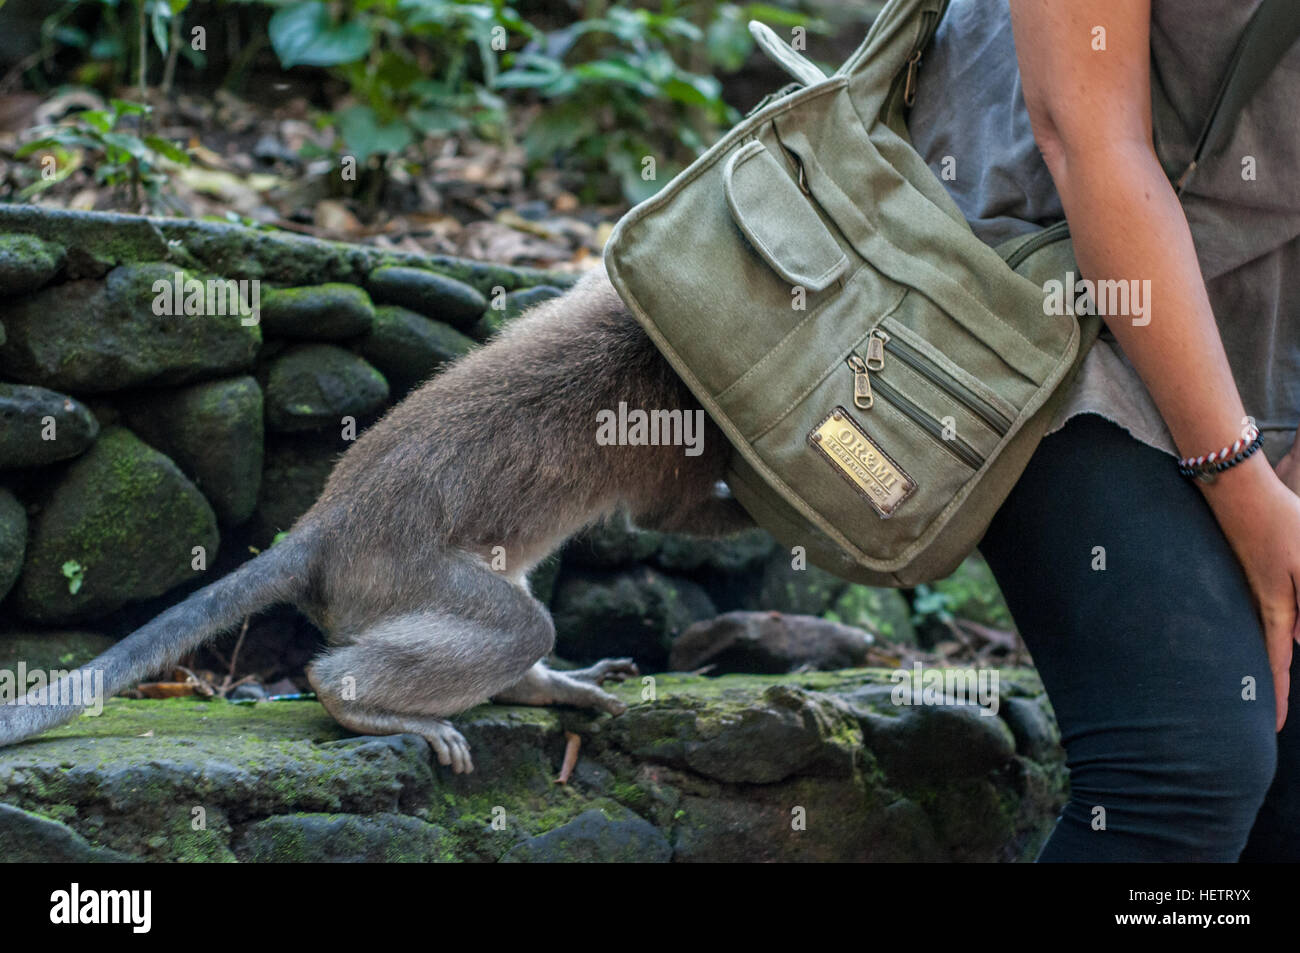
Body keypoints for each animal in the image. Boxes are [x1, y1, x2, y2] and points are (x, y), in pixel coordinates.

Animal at [0, 267, 755, 772]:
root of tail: (324, 525)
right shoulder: (677, 422)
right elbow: (670, 512)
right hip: (394, 578)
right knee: (517, 626)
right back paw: (353, 699)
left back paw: (542, 687)